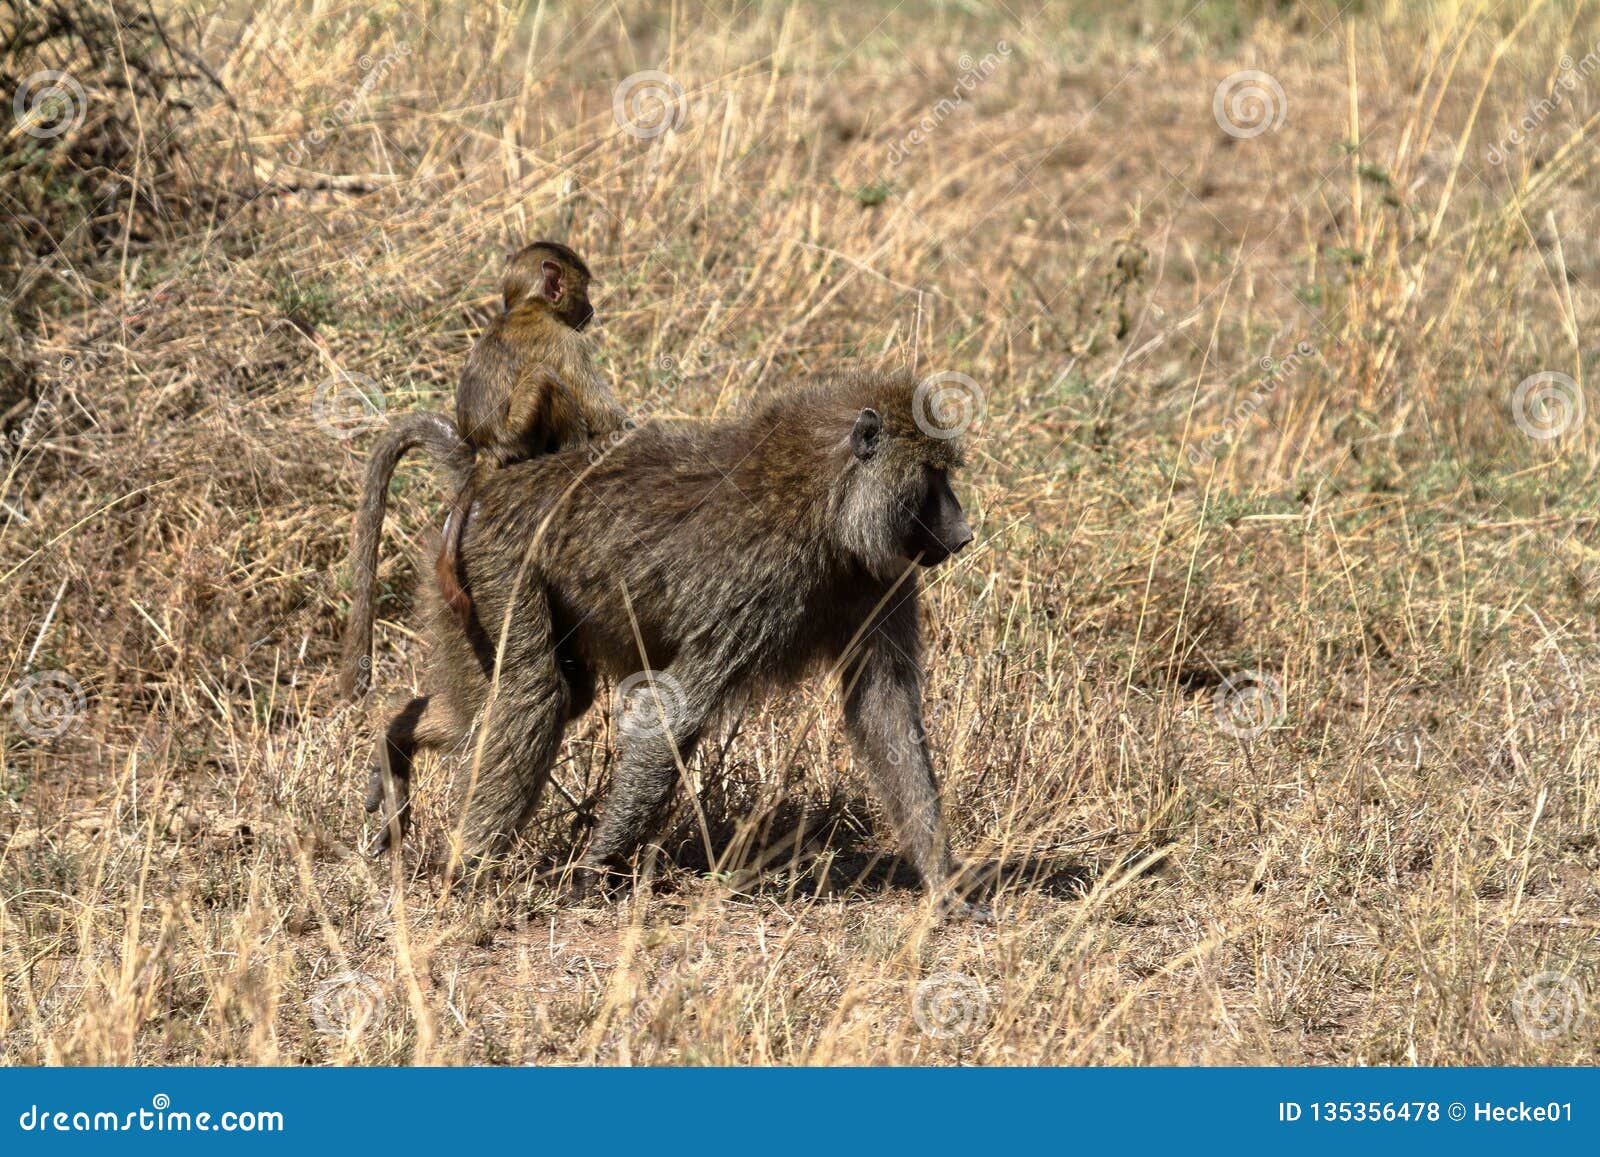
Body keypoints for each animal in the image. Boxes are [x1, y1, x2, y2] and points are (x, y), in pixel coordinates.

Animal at [357, 368, 977, 909]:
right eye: (932, 477)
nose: (964, 534)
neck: (827, 497)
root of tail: (486, 477)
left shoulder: (882, 576)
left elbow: (886, 709)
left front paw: (941, 882)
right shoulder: (760, 585)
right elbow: (673, 714)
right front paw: (595, 865)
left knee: (542, 697)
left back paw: (397, 738)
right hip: (499, 568)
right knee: (534, 695)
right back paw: (463, 869)